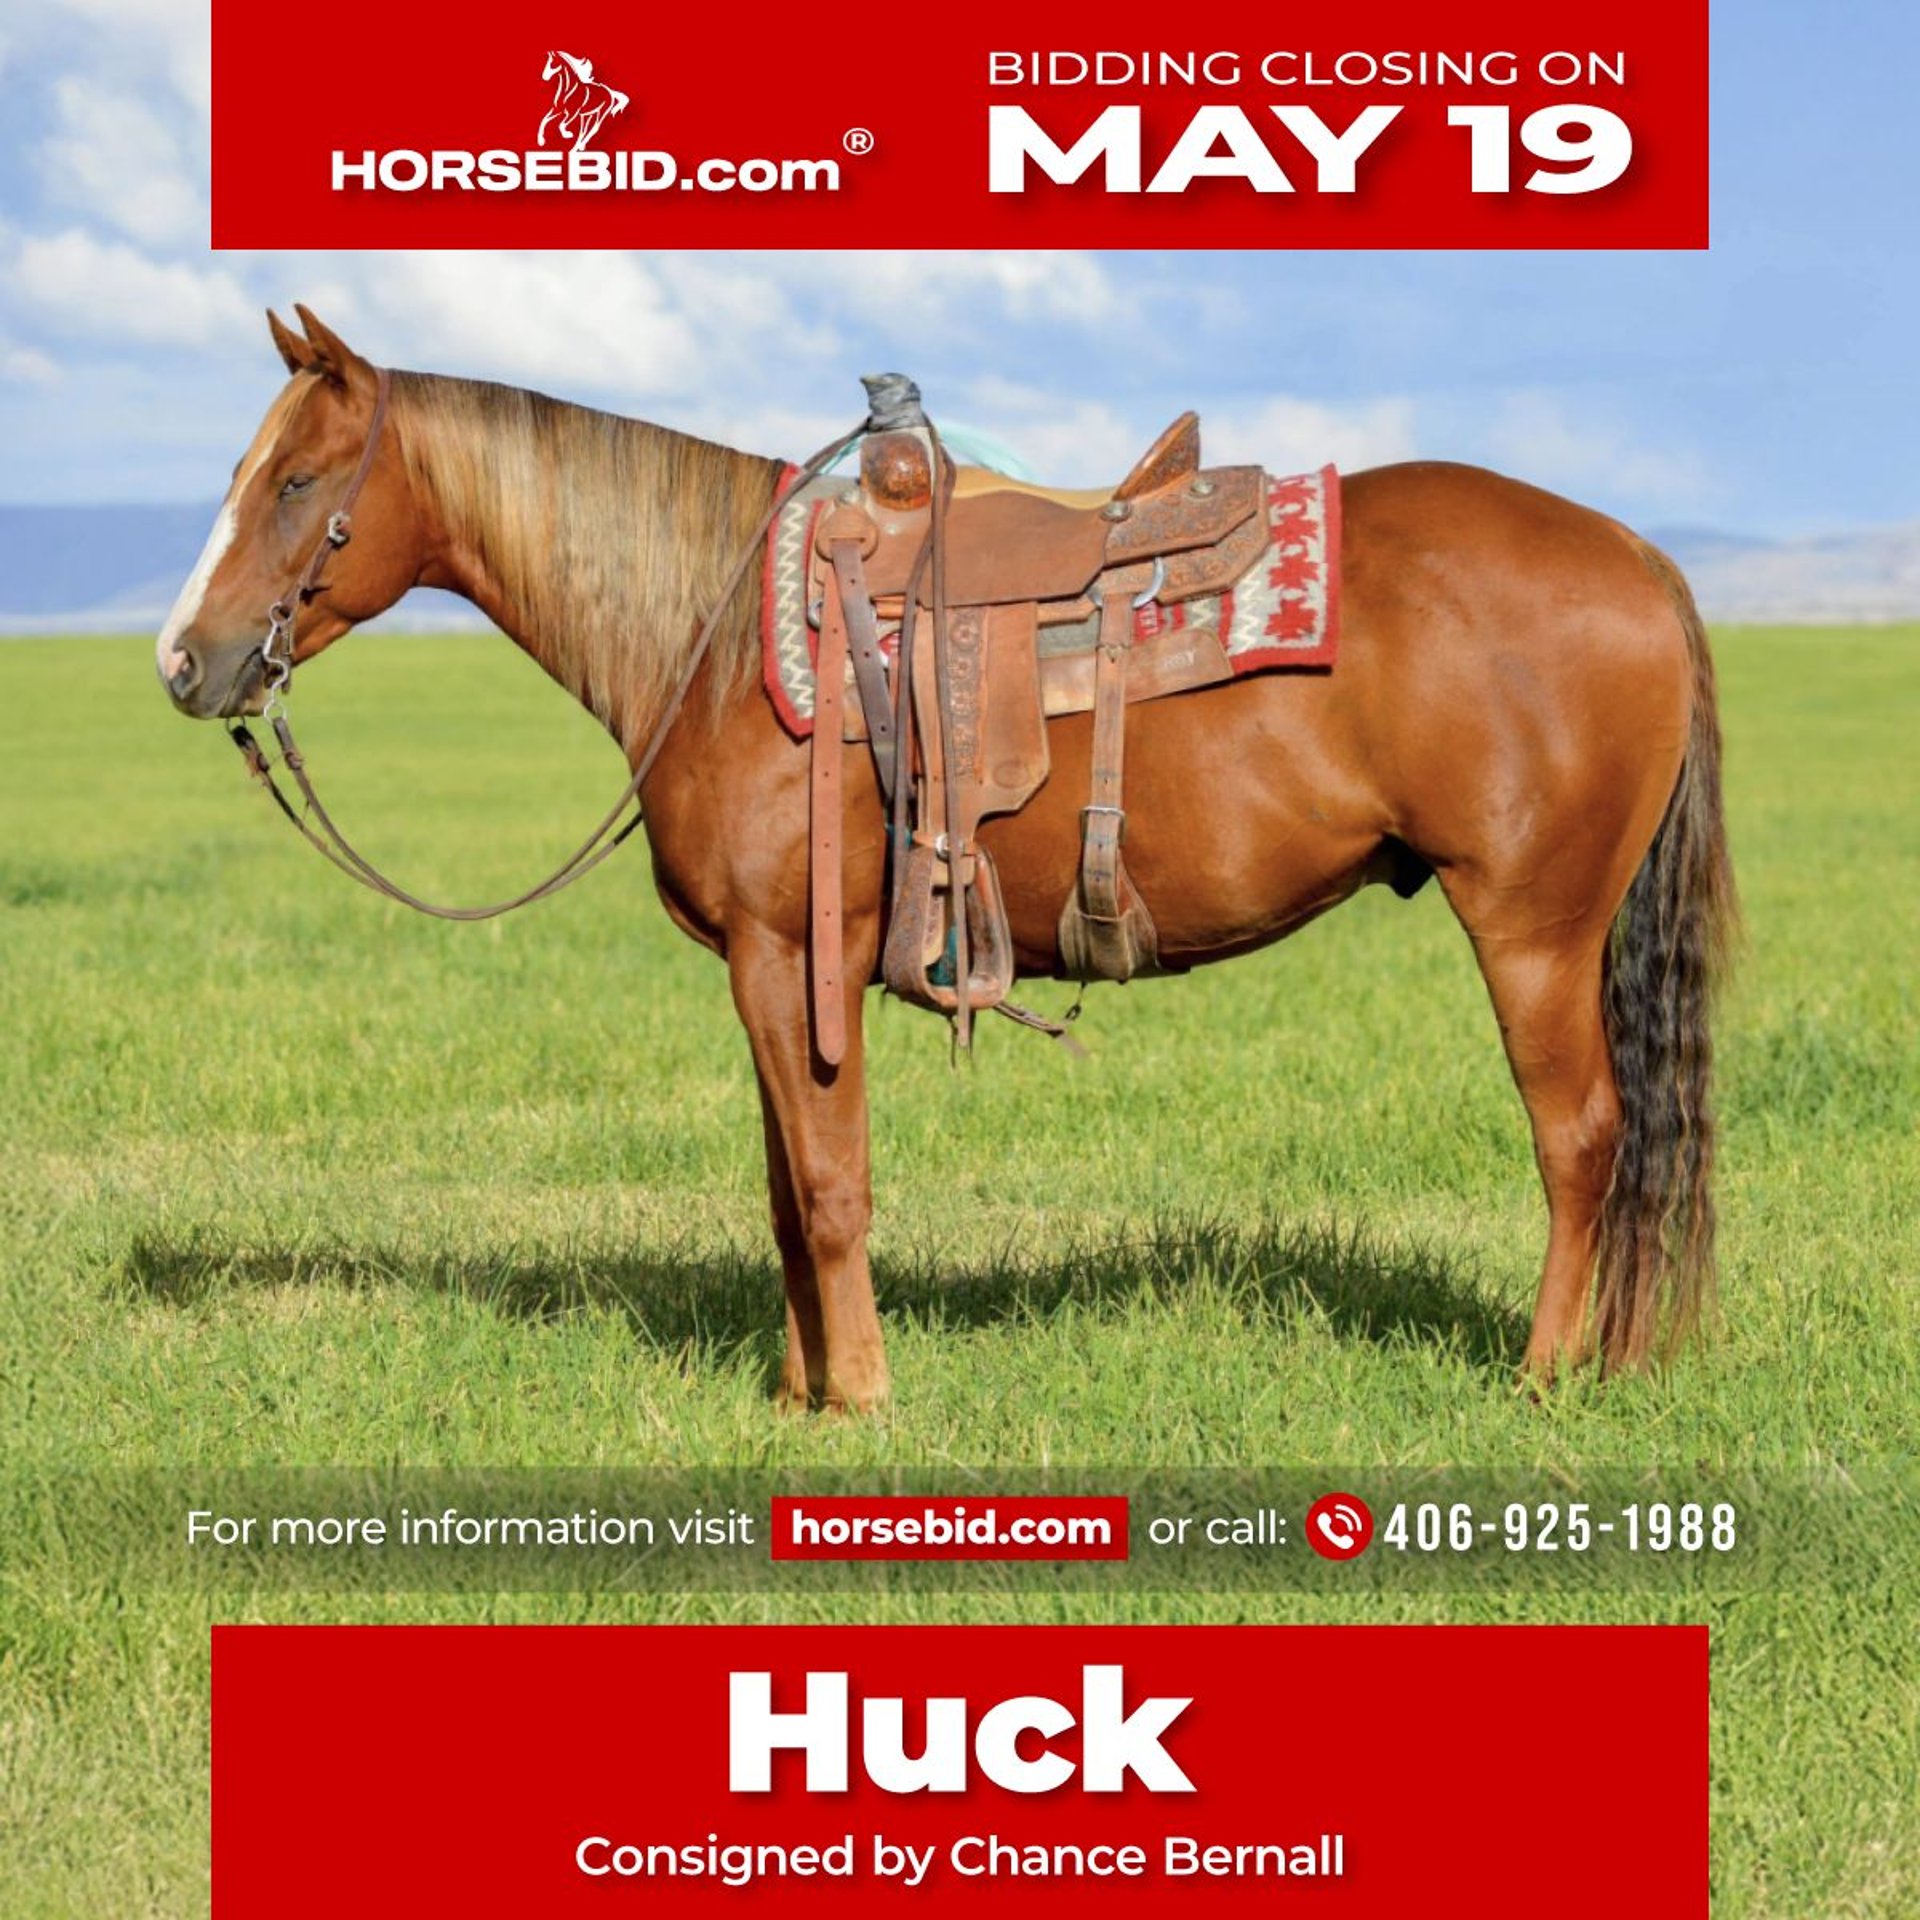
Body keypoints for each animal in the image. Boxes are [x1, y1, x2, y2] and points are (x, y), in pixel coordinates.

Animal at [156, 306, 1737, 1414]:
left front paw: (859, 1397)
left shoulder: (790, 953)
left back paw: (1545, 1375)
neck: (717, 637)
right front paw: (796, 1392)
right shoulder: (773, 970)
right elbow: (784, 1187)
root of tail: (1642, 559)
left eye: (298, 482)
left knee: (1582, 1139)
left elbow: (831, 1183)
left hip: (1530, 929)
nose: (182, 661)